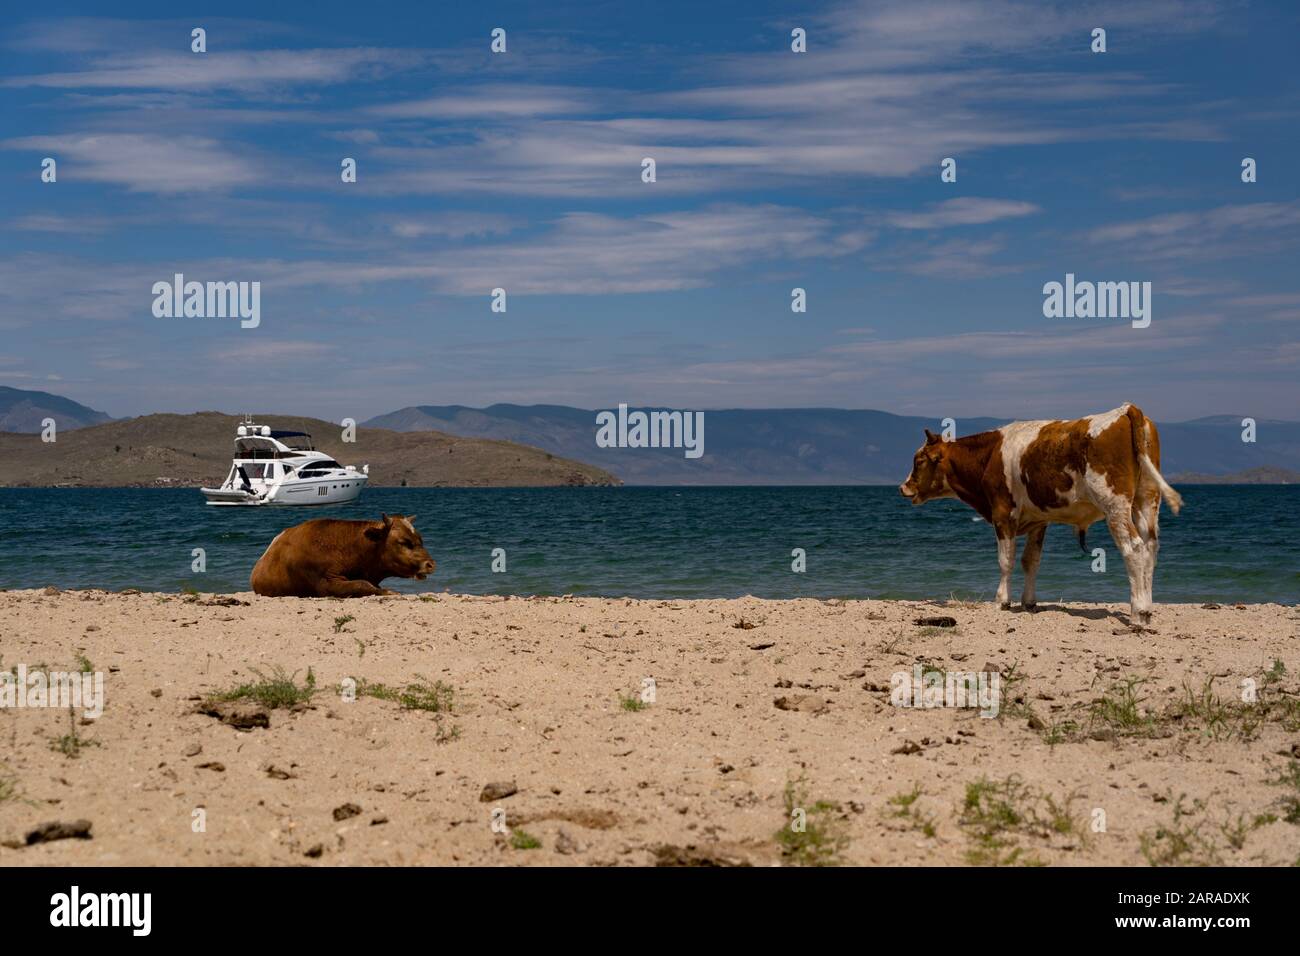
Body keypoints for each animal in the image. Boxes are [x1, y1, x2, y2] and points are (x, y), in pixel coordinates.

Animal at [250, 513, 436, 598]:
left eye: (420, 540)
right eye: (404, 542)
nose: (431, 564)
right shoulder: (326, 584)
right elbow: (362, 584)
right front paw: (390, 592)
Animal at [899, 404, 1181, 623]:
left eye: (919, 461)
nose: (903, 487)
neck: (989, 456)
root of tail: (1126, 409)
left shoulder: (1003, 513)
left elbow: (1006, 560)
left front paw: (1002, 600)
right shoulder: (1038, 520)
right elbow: (1030, 561)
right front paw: (1029, 602)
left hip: (1115, 505)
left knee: (1134, 548)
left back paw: (1137, 612)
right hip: (1146, 500)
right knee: (1150, 547)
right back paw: (1148, 608)